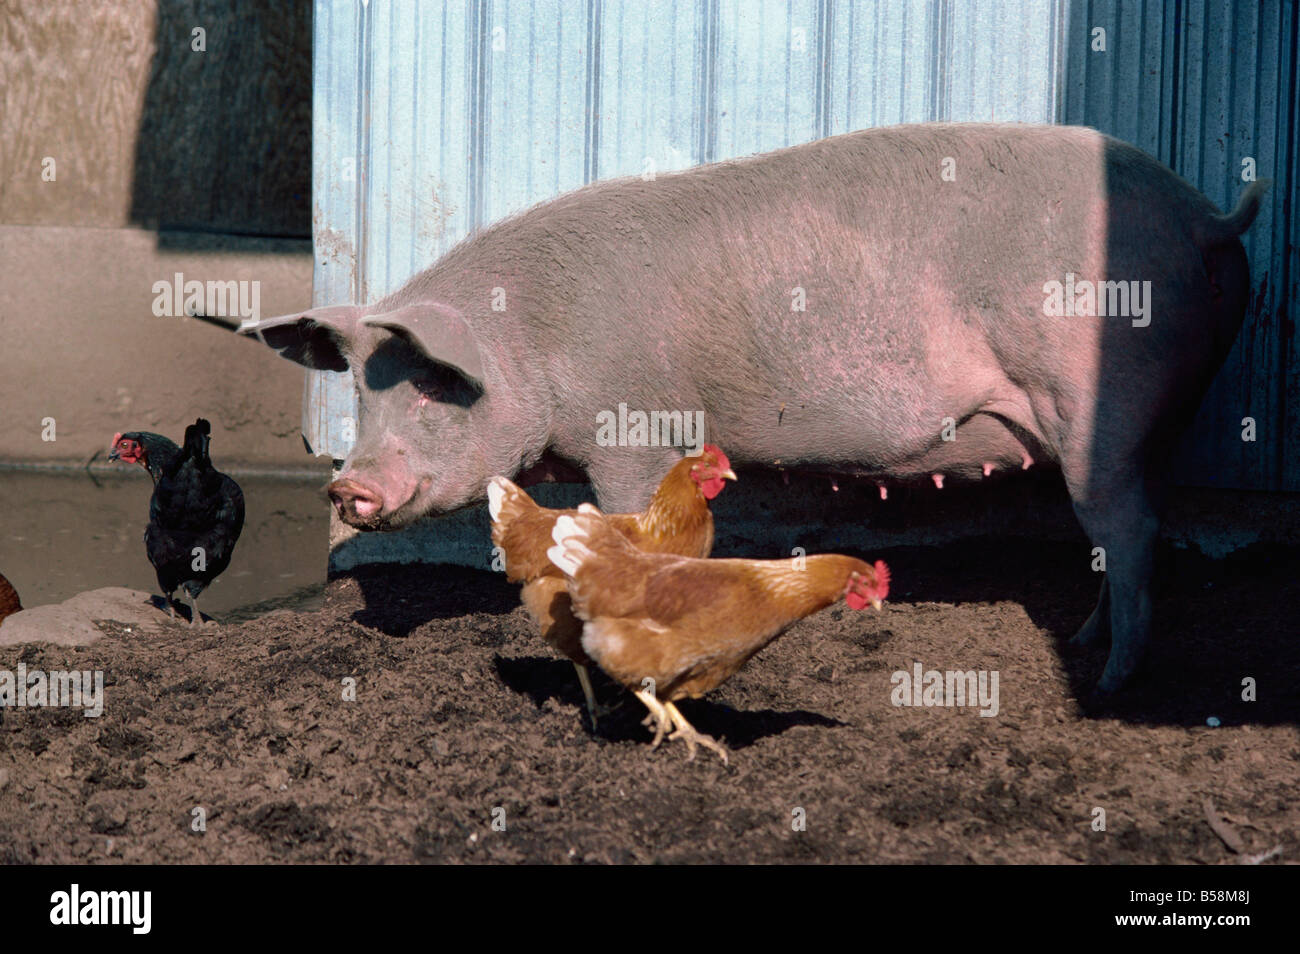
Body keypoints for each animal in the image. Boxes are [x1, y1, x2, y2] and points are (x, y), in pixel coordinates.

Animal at [240, 122, 1268, 694]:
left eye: (429, 387)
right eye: (360, 391)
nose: (348, 489)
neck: (533, 335)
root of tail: (1207, 216)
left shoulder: (637, 420)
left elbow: (622, 522)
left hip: (1101, 402)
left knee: (1128, 529)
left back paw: (1110, 684)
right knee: (1127, 531)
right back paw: (1093, 644)